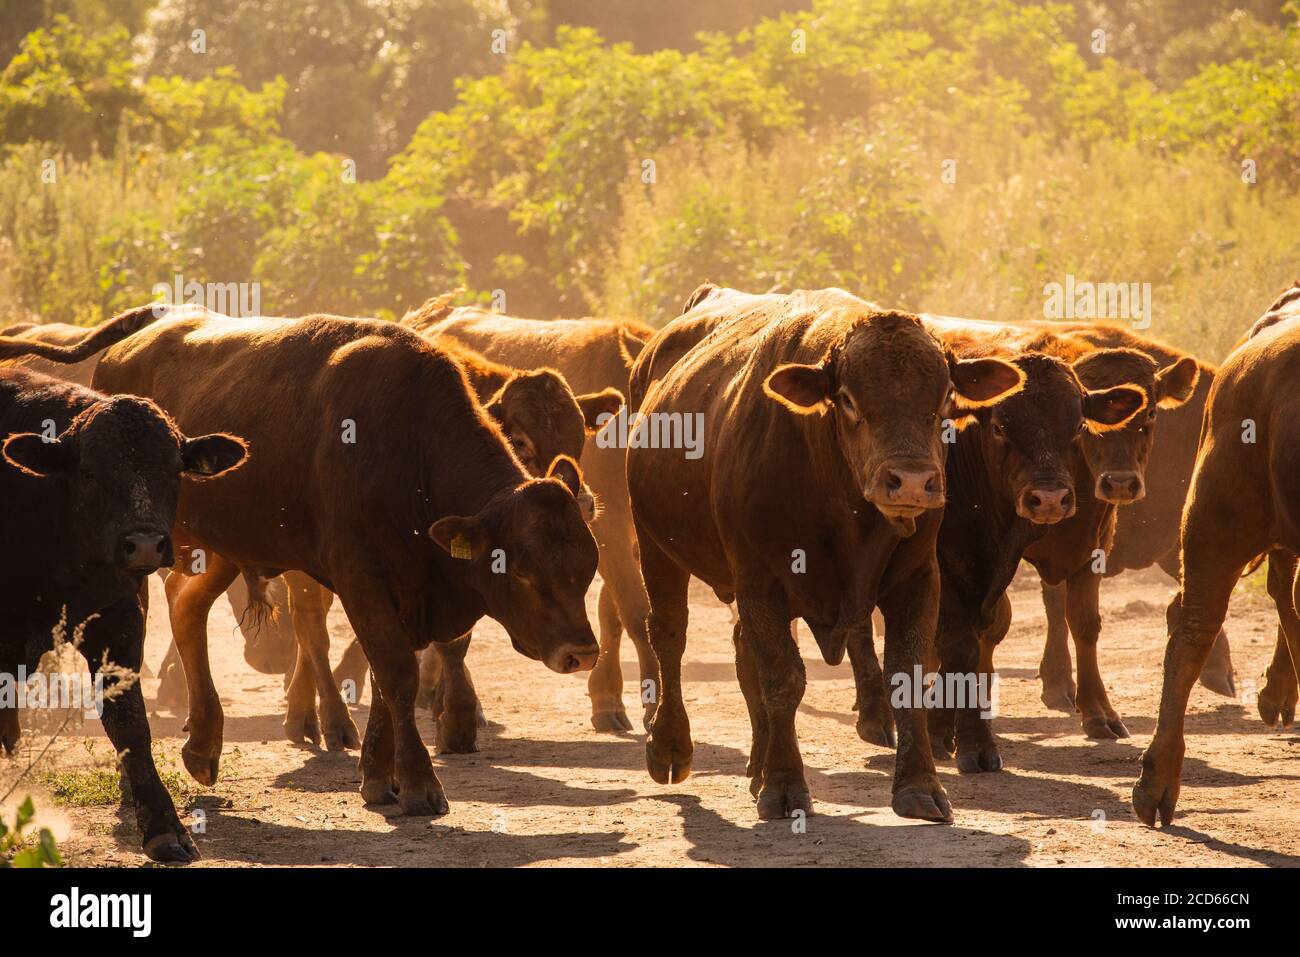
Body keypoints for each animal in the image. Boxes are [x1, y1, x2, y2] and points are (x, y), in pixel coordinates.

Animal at [1, 310, 250, 862]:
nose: (145, 545)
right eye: (91, 472)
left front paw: (164, 826)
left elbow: (129, 719)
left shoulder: (117, 617)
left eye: (174, 469)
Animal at [68, 309, 601, 816]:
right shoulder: (361, 579)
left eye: (586, 567)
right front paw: (419, 786)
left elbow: (386, 679)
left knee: (187, 607)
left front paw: (379, 777)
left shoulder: (403, 594)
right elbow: (396, 674)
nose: (581, 653)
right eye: (522, 571)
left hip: (226, 546)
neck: (413, 451)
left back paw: (203, 746)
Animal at [405, 302, 658, 734]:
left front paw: (608, 698)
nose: (583, 500)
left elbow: (612, 612)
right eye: (520, 440)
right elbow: (636, 611)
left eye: (580, 438)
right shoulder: (609, 533)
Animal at [626, 286, 1026, 821]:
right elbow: (783, 679)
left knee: (740, 655)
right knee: (670, 635)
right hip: (656, 546)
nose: (912, 481)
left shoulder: (919, 576)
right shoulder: (761, 581)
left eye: (944, 396)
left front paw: (919, 786)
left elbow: (908, 675)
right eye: (850, 400)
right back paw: (670, 746)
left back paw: (755, 766)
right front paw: (784, 786)